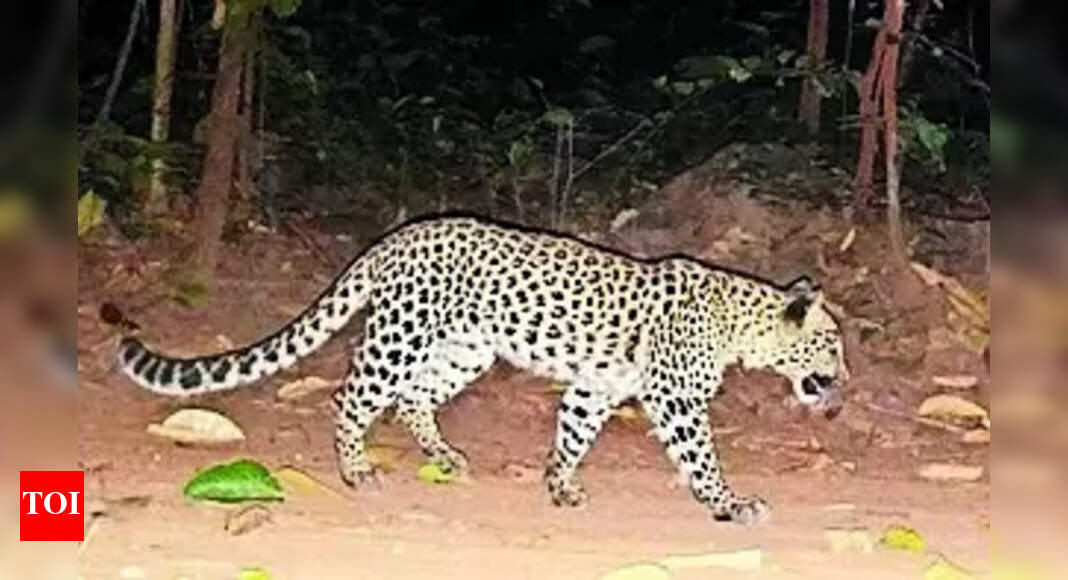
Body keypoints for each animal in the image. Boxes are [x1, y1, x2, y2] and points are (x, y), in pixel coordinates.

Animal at [117, 216, 848, 525]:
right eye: (833, 348)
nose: (844, 385)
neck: (742, 324)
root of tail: (395, 239)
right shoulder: (675, 400)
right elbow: (699, 457)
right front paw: (729, 503)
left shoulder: (595, 386)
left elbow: (572, 436)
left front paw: (560, 487)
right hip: (401, 335)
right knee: (353, 398)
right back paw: (357, 471)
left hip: (462, 349)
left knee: (413, 399)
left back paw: (444, 456)